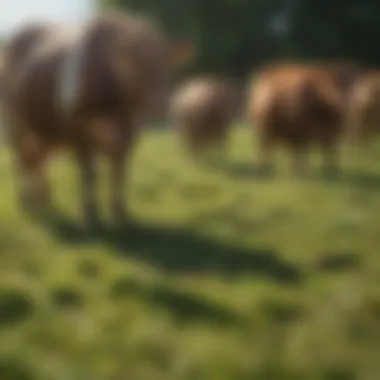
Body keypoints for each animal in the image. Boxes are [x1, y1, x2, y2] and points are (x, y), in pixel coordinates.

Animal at [0, 10, 194, 227]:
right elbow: (89, 173)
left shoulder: (129, 132)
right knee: (20, 159)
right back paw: (25, 199)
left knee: (37, 160)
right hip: (14, 121)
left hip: (43, 127)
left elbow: (119, 172)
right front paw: (90, 215)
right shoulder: (78, 130)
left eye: (165, 64)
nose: (160, 102)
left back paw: (42, 197)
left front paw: (120, 213)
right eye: (135, 65)